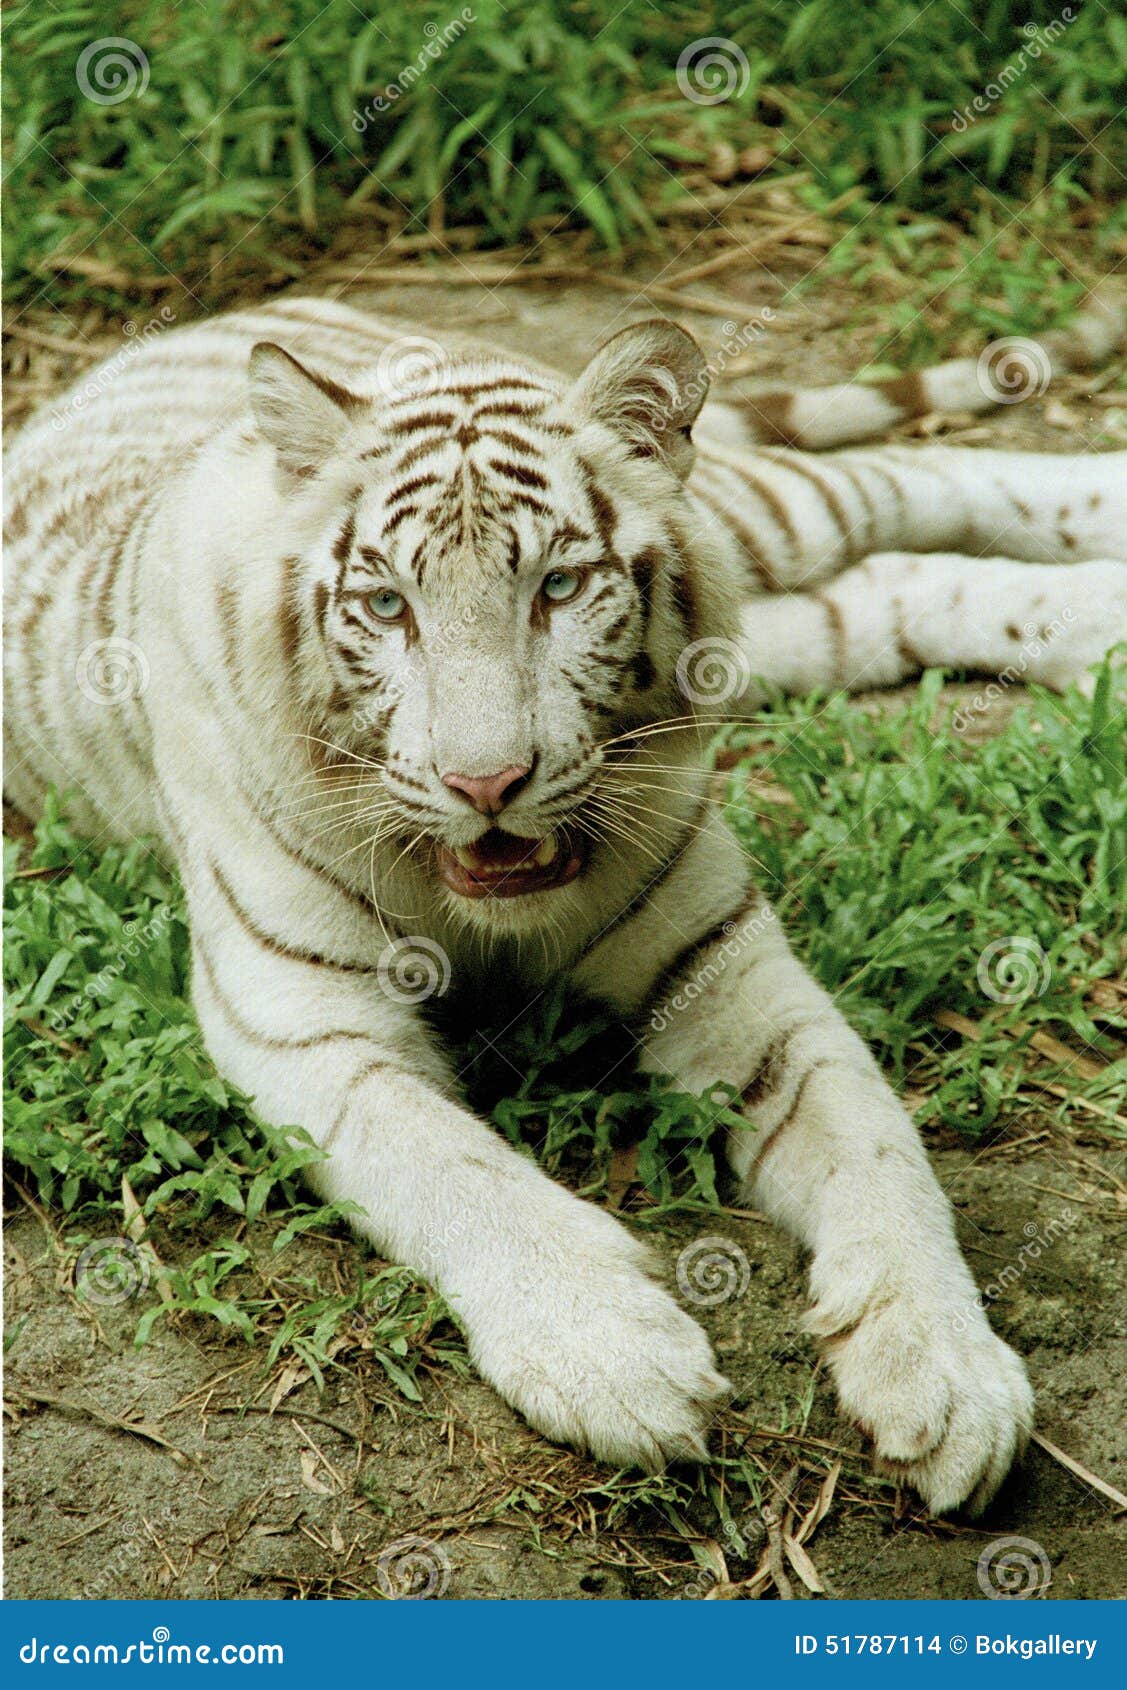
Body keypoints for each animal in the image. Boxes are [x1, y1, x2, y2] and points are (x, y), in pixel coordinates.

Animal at [6, 290, 1126, 1517]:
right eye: (387, 606)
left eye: (556, 587)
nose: (485, 783)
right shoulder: (306, 1020)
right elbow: (453, 1173)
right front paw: (612, 1357)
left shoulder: (728, 976)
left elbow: (881, 1155)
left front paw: (946, 1371)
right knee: (877, 585)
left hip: (759, 510)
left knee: (909, 477)